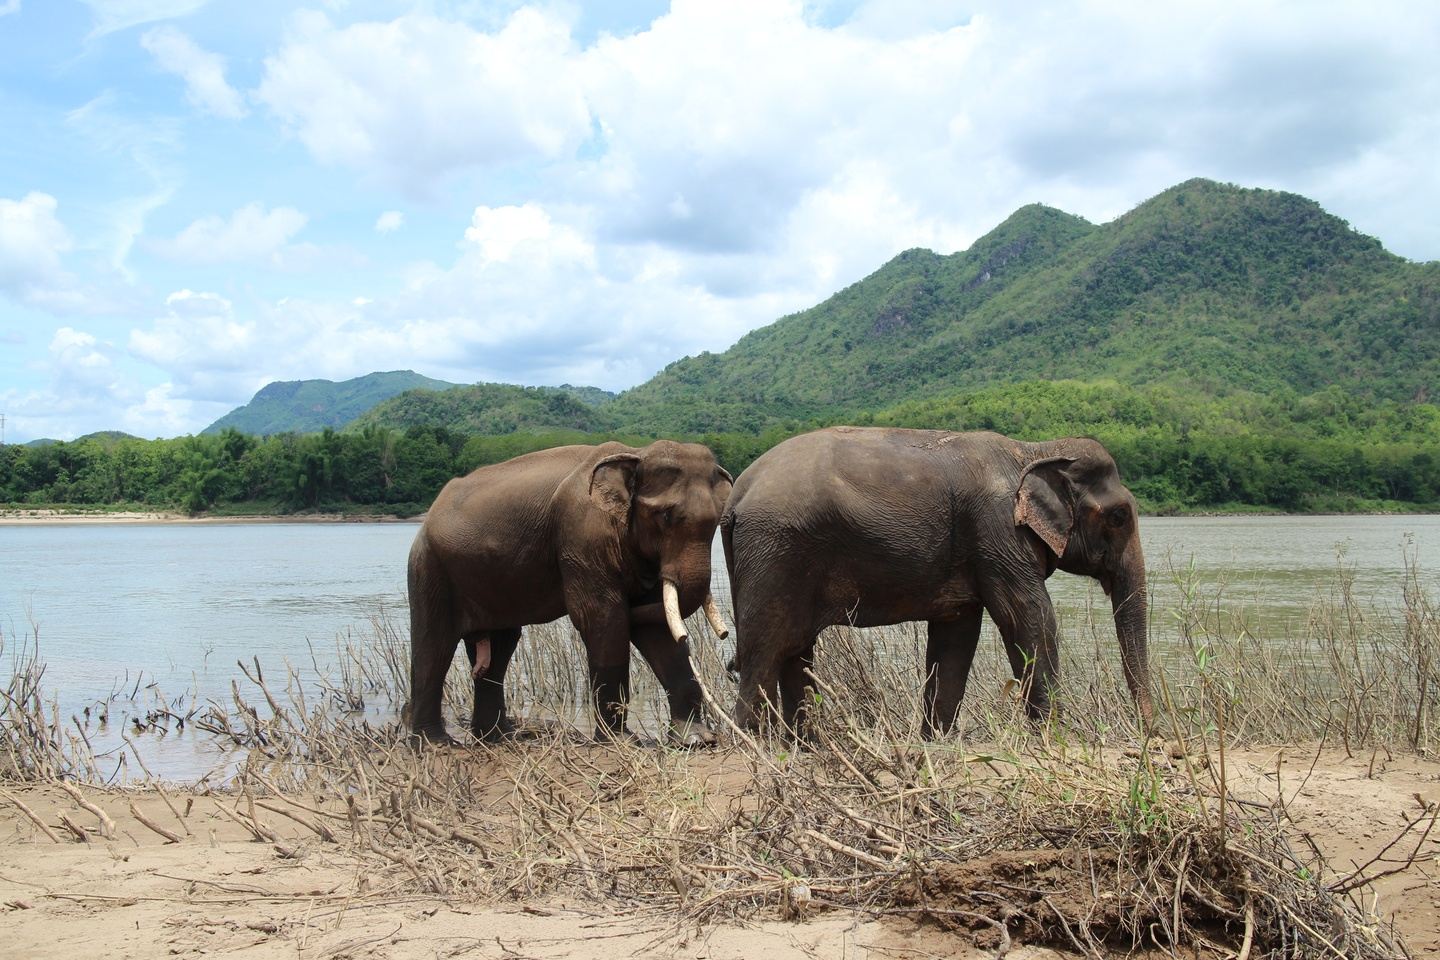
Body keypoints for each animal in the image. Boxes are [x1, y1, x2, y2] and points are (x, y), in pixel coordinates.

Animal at [406, 439, 733, 745]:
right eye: (665, 516)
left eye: (717, 519)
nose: (727, 637)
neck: (635, 453)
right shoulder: (581, 537)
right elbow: (603, 617)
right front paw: (621, 741)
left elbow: (657, 628)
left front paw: (696, 740)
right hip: (429, 566)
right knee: (434, 646)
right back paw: (436, 744)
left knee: (498, 650)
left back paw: (497, 738)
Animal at [721, 427, 1152, 735]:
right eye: (1119, 517)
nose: (1151, 733)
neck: (1032, 450)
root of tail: (736, 495)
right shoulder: (997, 531)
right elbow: (1028, 616)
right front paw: (1054, 737)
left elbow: (957, 634)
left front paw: (937, 740)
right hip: (775, 551)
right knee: (766, 649)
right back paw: (753, 742)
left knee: (794, 650)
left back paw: (805, 744)